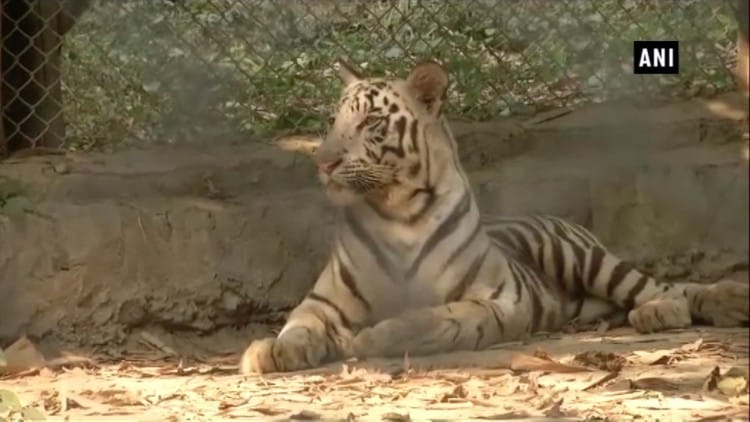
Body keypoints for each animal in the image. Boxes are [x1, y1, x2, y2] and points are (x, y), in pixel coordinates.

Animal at [240, 60, 750, 374]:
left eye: (370, 123)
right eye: (333, 122)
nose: (322, 161)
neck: (395, 212)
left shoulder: (495, 298)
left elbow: (429, 319)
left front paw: (372, 338)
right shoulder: (323, 301)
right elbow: (299, 324)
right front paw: (272, 350)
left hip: (586, 258)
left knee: (668, 290)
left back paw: (665, 311)